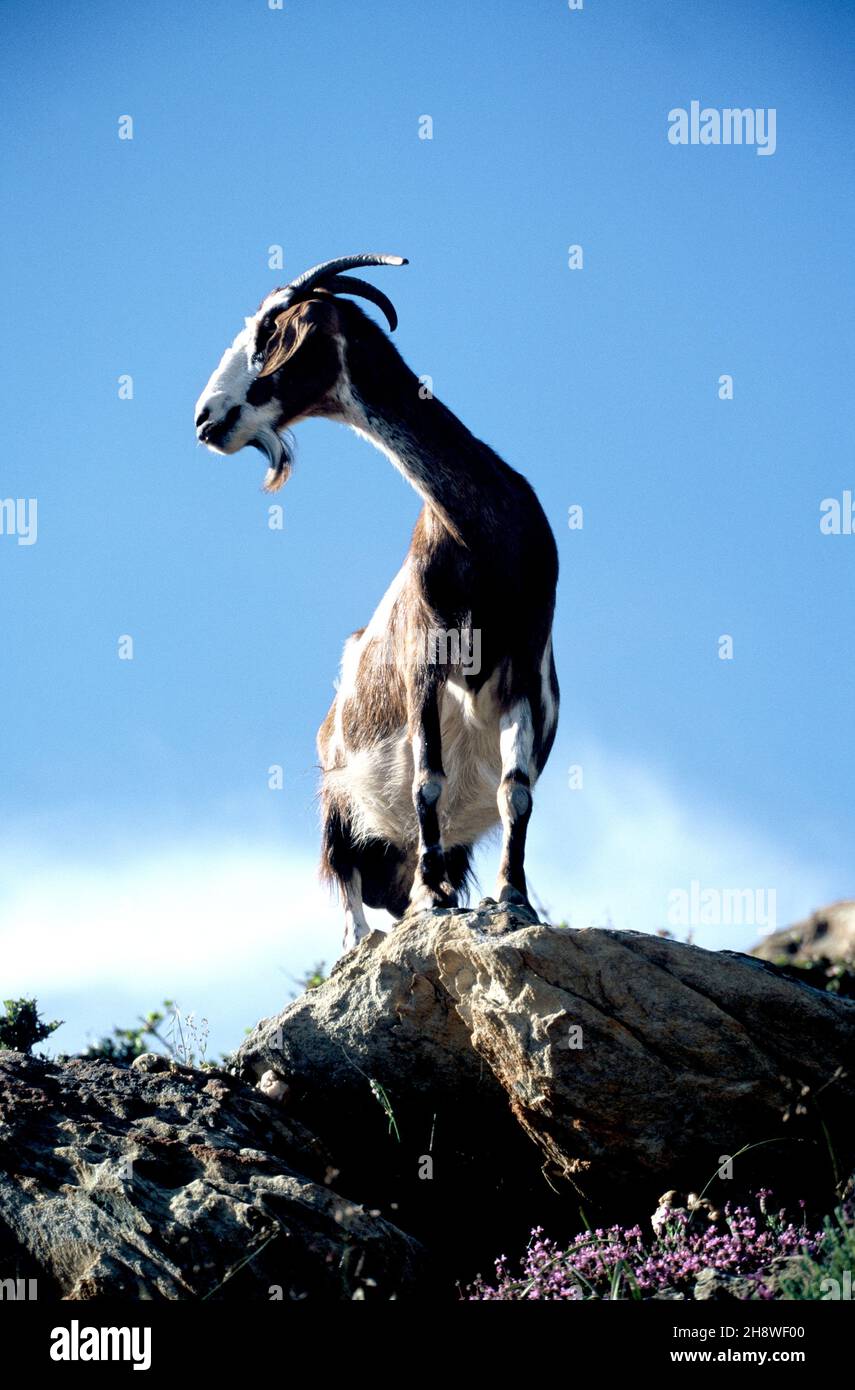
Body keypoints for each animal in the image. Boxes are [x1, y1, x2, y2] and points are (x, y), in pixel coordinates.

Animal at [195, 254, 560, 950]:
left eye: (271, 332)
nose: (205, 417)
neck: (482, 538)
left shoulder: (521, 665)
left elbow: (516, 791)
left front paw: (515, 899)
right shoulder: (425, 660)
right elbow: (427, 782)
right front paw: (436, 898)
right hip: (337, 803)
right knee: (344, 880)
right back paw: (367, 937)